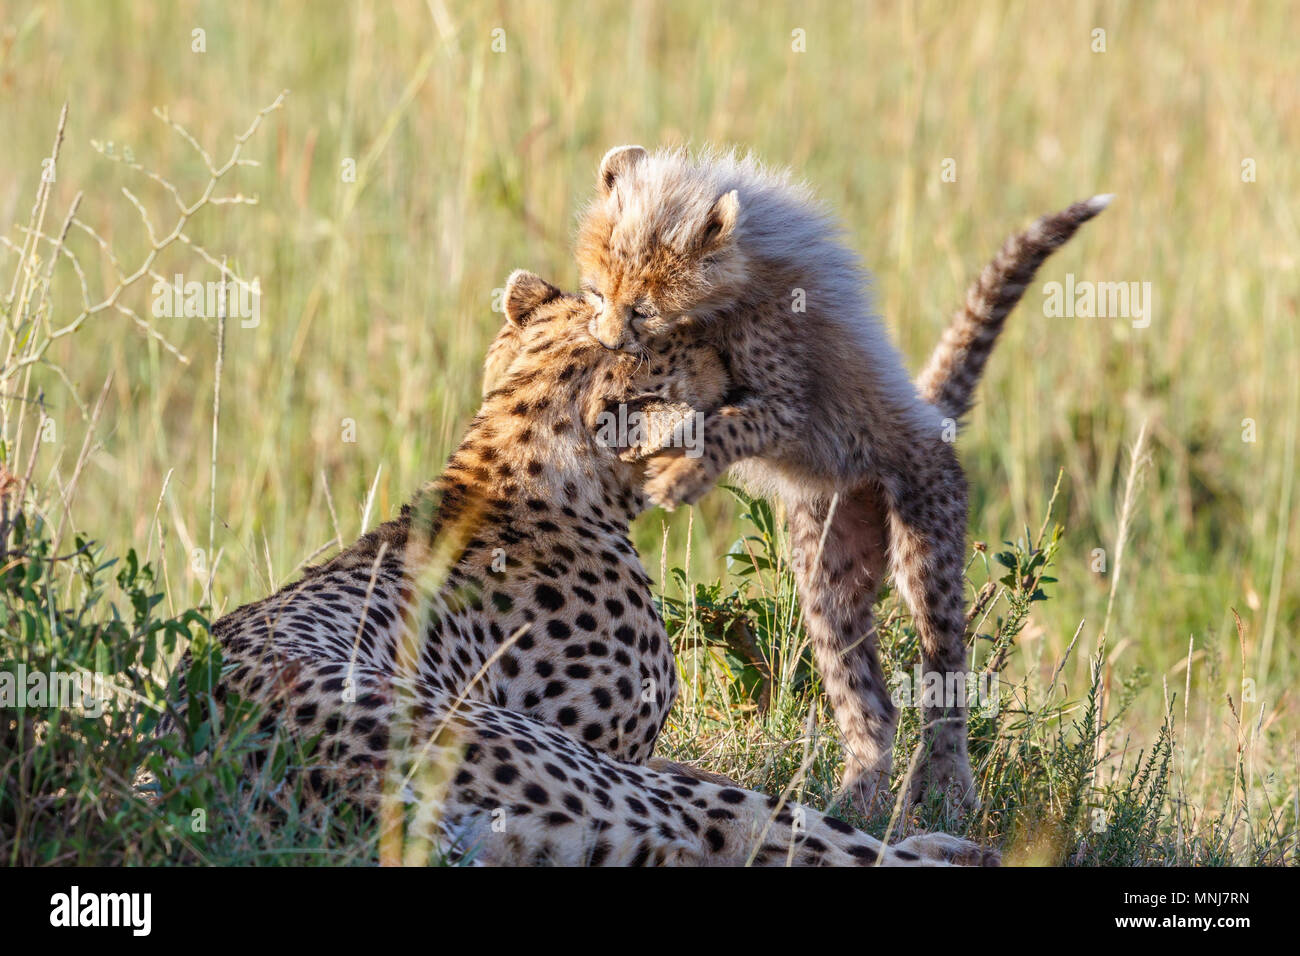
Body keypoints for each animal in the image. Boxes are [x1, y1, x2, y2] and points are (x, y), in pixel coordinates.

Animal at [575, 143, 1109, 813]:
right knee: (869, 698)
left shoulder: (786, 406)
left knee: (944, 669)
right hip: (828, 568)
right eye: (597, 293)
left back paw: (943, 785)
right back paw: (856, 795)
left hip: (924, 545)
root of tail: (930, 417)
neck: (727, 299)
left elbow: (727, 423)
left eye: (642, 308)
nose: (605, 339)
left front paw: (680, 475)